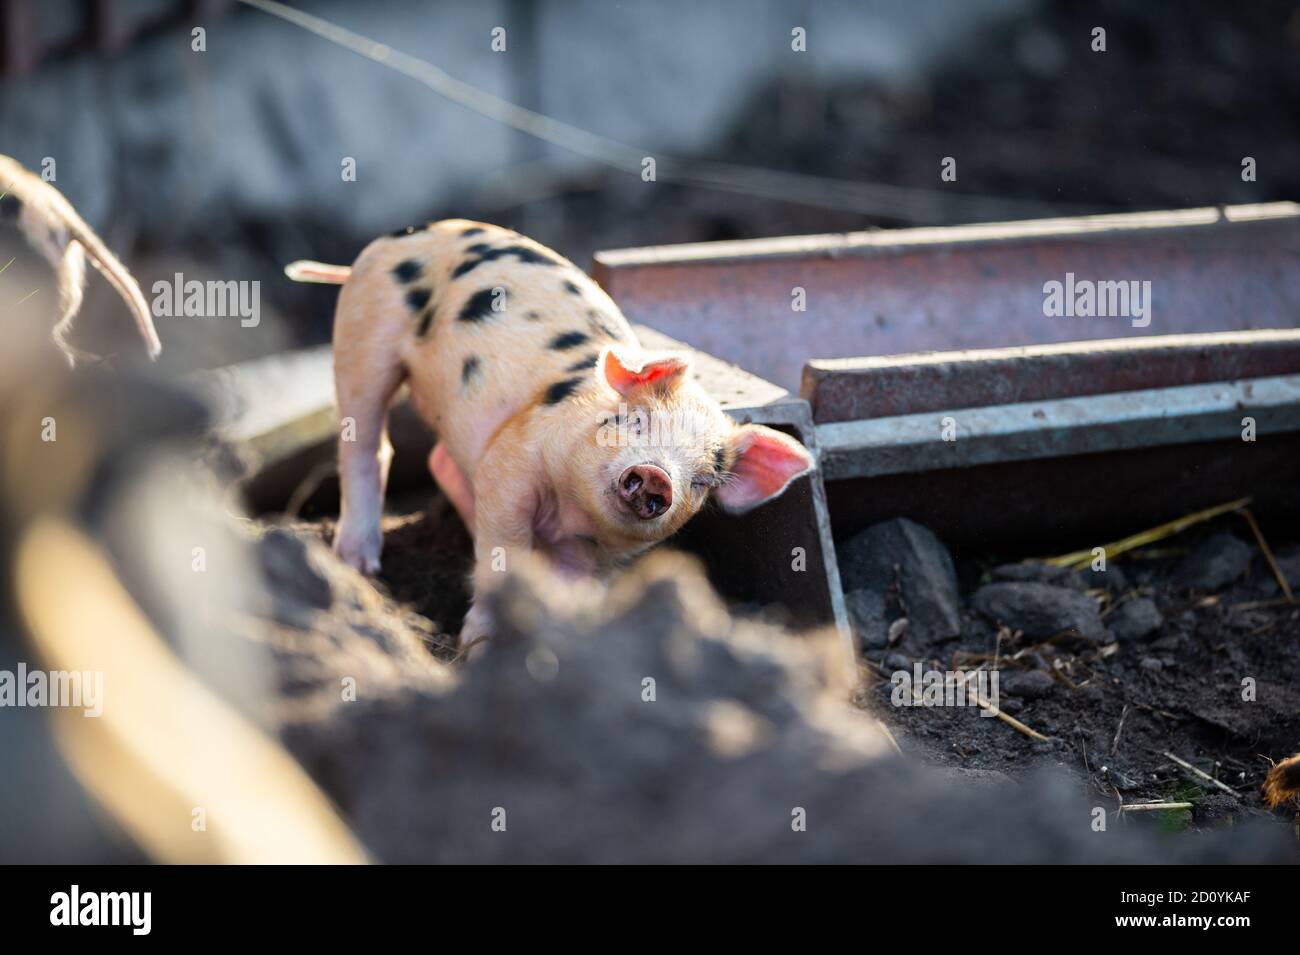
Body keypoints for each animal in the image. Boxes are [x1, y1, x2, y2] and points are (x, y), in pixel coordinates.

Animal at [286, 220, 813, 647]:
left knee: (437, 461)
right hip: (364, 332)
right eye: (635, 420)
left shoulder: (598, 555)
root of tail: (402, 237)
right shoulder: (509, 464)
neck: (572, 513)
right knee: (366, 443)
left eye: (703, 480)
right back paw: (355, 562)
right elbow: (502, 555)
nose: (658, 476)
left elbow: (572, 585)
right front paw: (480, 645)